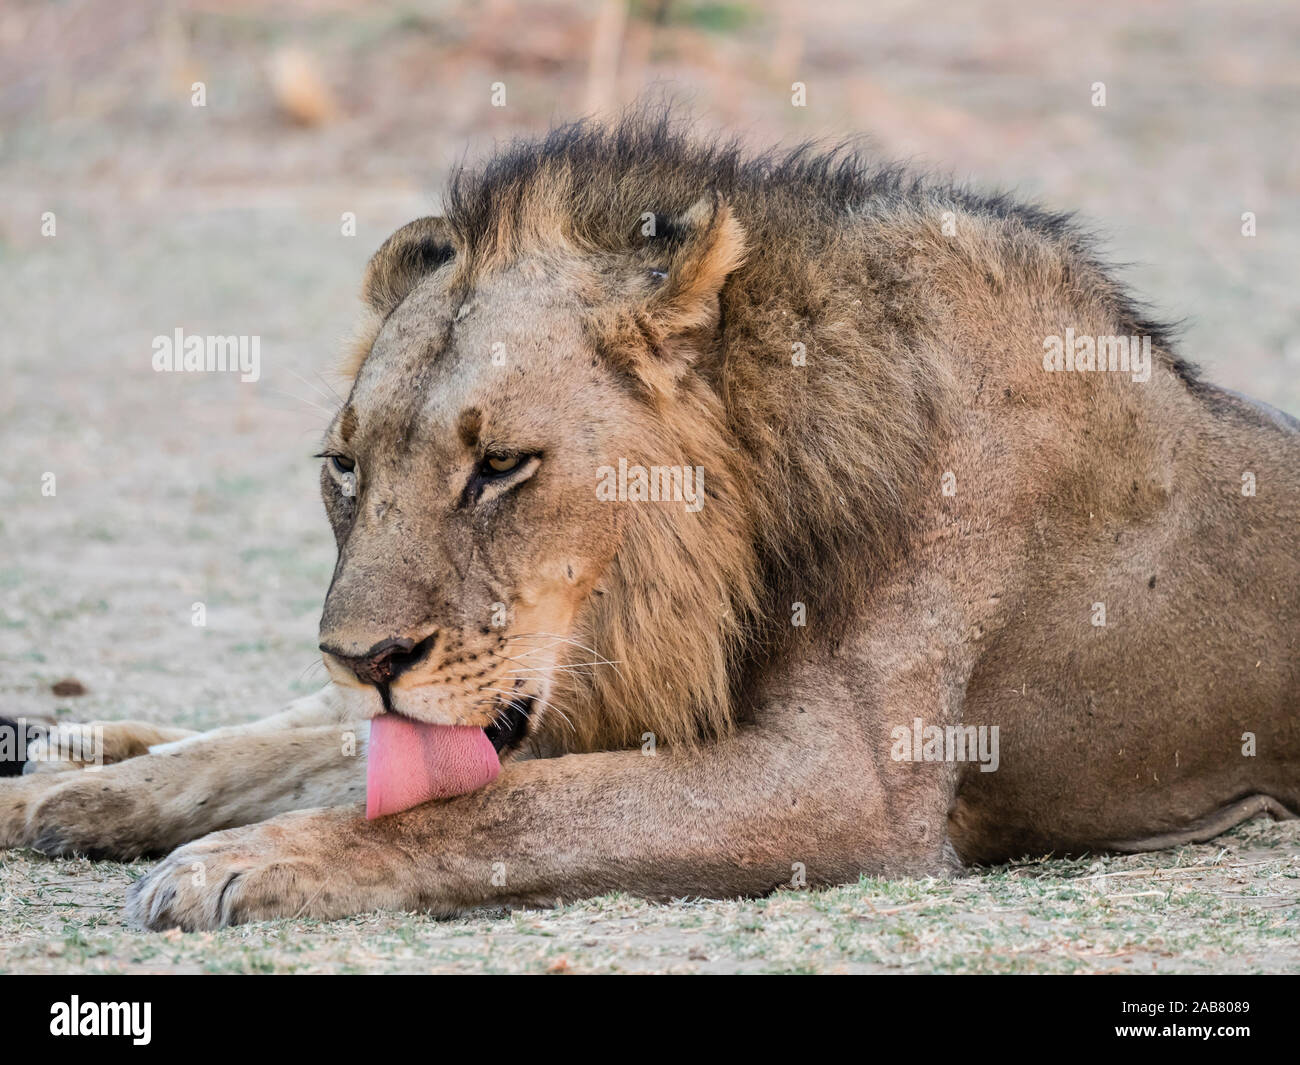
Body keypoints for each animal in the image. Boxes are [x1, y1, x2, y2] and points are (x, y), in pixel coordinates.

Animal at [2, 114, 1297, 932]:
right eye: (344, 467)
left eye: (501, 467)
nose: (362, 657)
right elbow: (314, 755)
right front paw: (67, 801)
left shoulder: (842, 787)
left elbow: (503, 807)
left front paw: (242, 861)